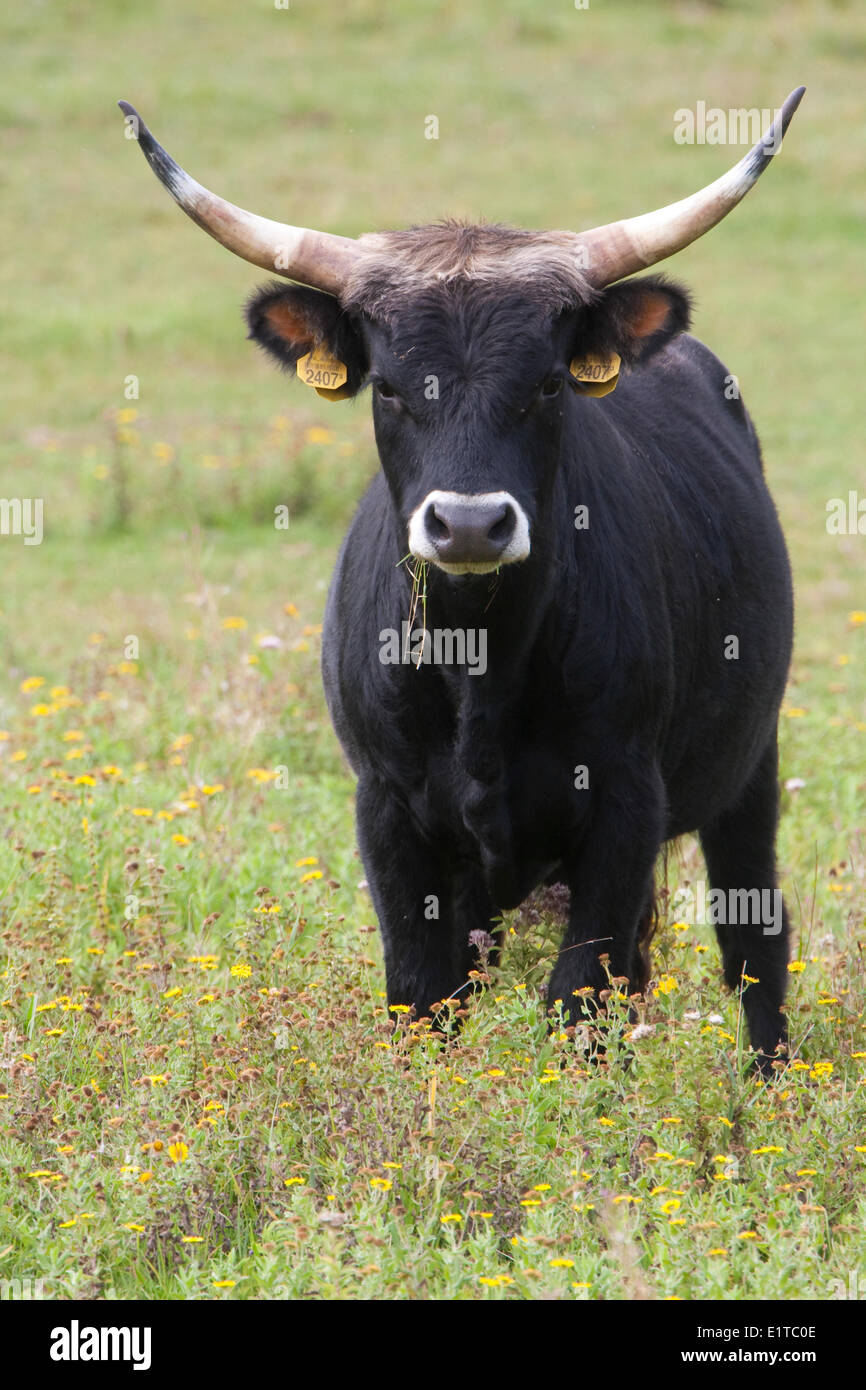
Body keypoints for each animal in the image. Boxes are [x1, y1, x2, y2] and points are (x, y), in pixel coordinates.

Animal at [119, 89, 804, 1071]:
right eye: (389, 387)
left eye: (549, 383)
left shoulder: (625, 807)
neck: (480, 662)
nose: (472, 523)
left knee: (754, 938)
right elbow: (421, 993)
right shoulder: (389, 815)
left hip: (750, 769)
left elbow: (577, 1003)